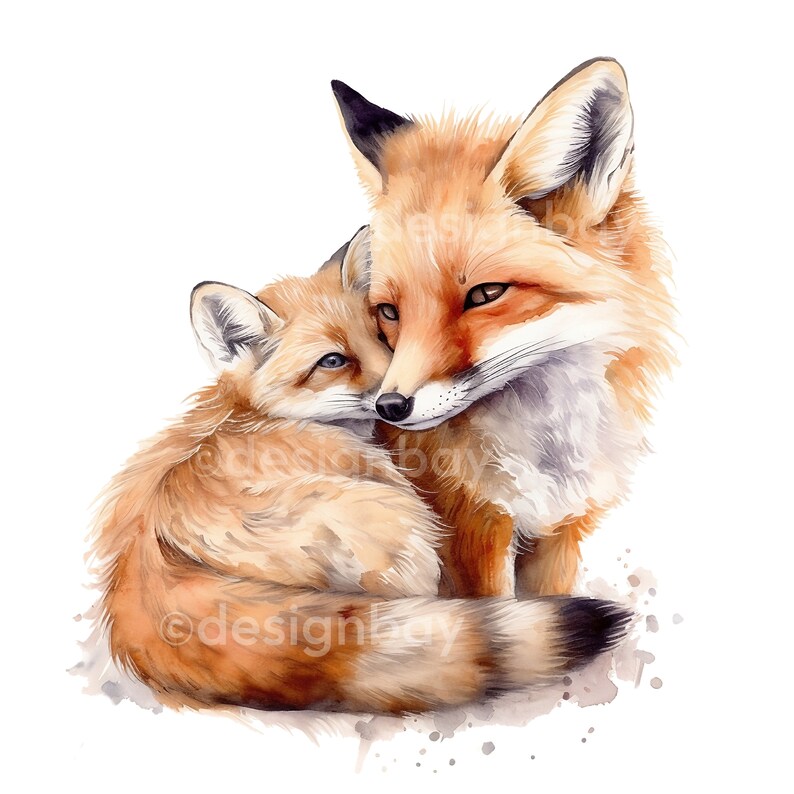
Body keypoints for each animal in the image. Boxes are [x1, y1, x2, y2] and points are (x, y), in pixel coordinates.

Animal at [332, 58, 674, 598]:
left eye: (485, 294)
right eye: (389, 311)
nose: (390, 407)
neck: (548, 452)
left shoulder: (560, 531)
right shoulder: (472, 529)